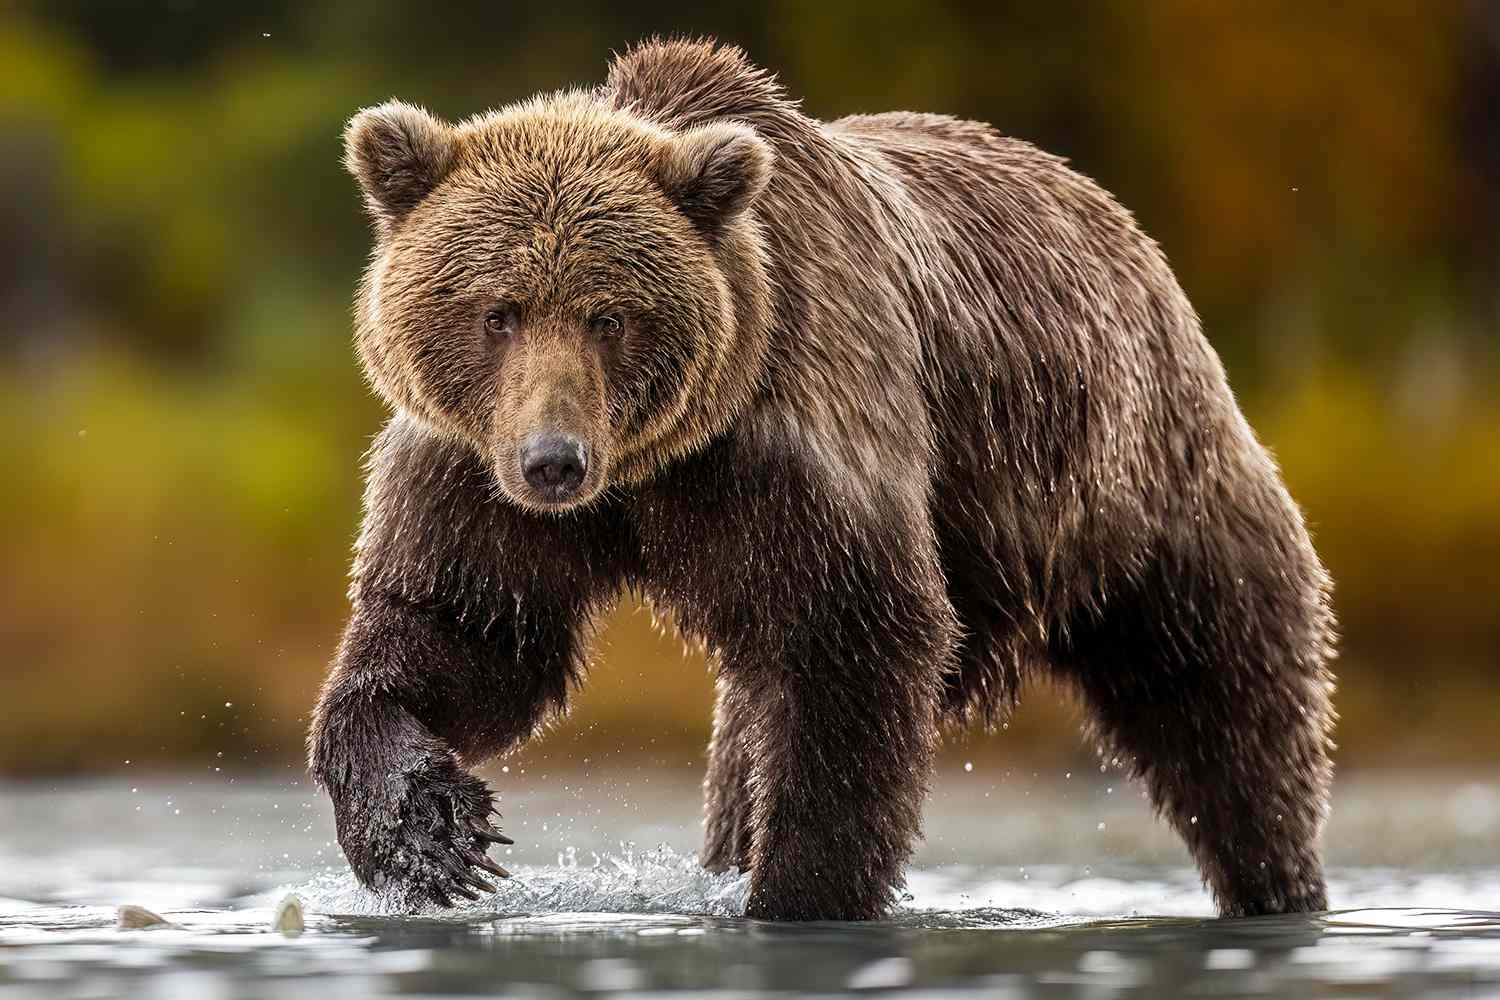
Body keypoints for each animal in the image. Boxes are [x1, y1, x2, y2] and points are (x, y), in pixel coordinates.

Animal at [308, 38, 1336, 921]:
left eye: (609, 316)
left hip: (1147, 494)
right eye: (499, 312)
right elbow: (464, 630)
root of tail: (1119, 226)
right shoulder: (474, 475)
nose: (553, 460)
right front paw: (428, 833)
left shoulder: (803, 452)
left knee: (1227, 708)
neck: (654, 466)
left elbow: (850, 650)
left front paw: (796, 892)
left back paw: (1278, 879)